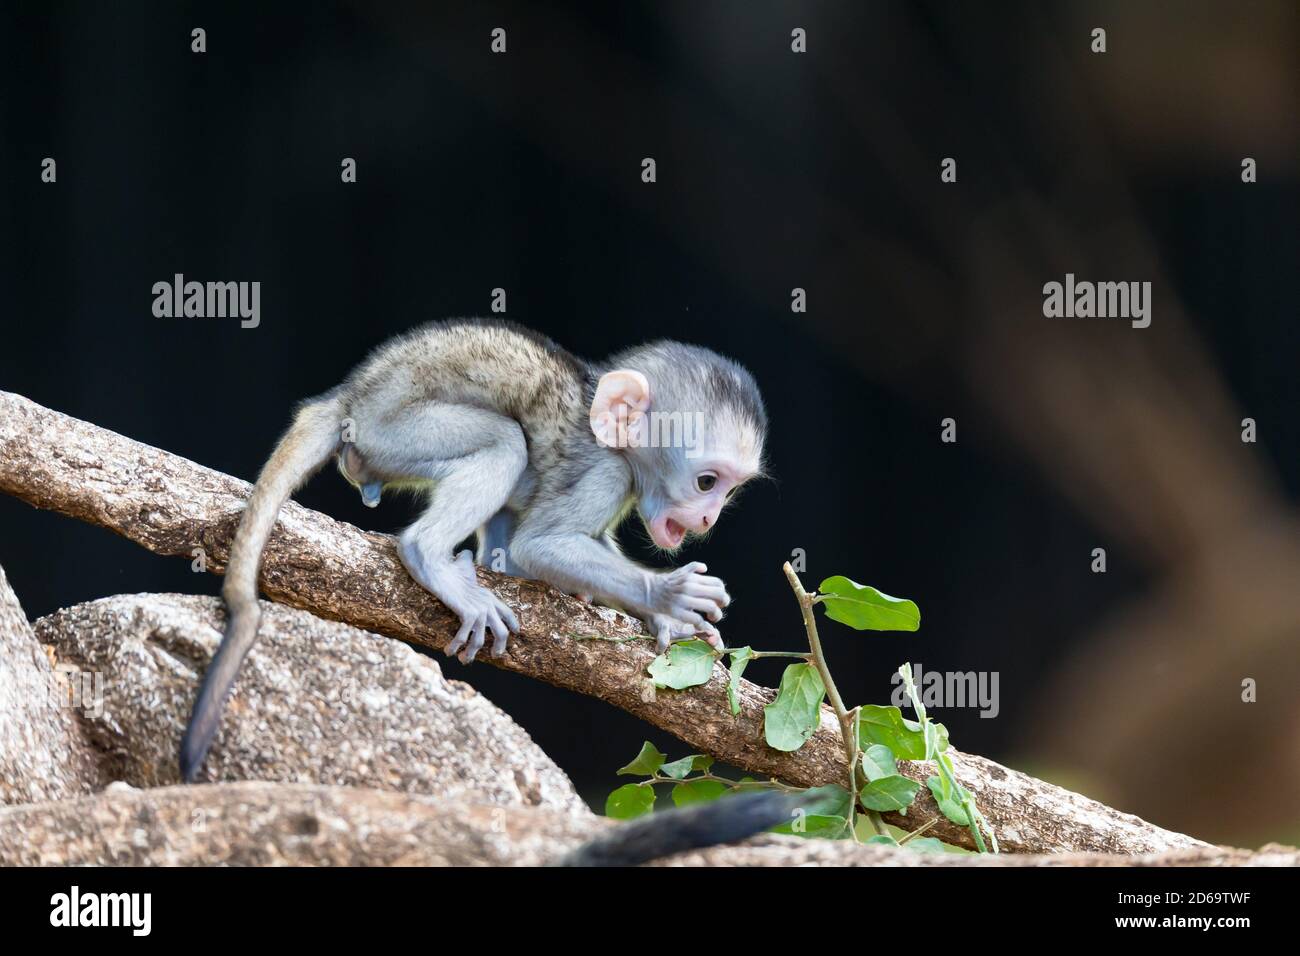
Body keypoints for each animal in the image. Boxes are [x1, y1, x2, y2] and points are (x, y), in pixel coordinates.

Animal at [180, 318, 767, 782]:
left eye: (729, 490)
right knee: (506, 444)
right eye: (706, 481)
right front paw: (668, 595)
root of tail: (348, 396)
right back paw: (431, 558)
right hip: (395, 431)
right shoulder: (605, 470)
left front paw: (665, 620)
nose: (709, 517)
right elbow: (540, 547)